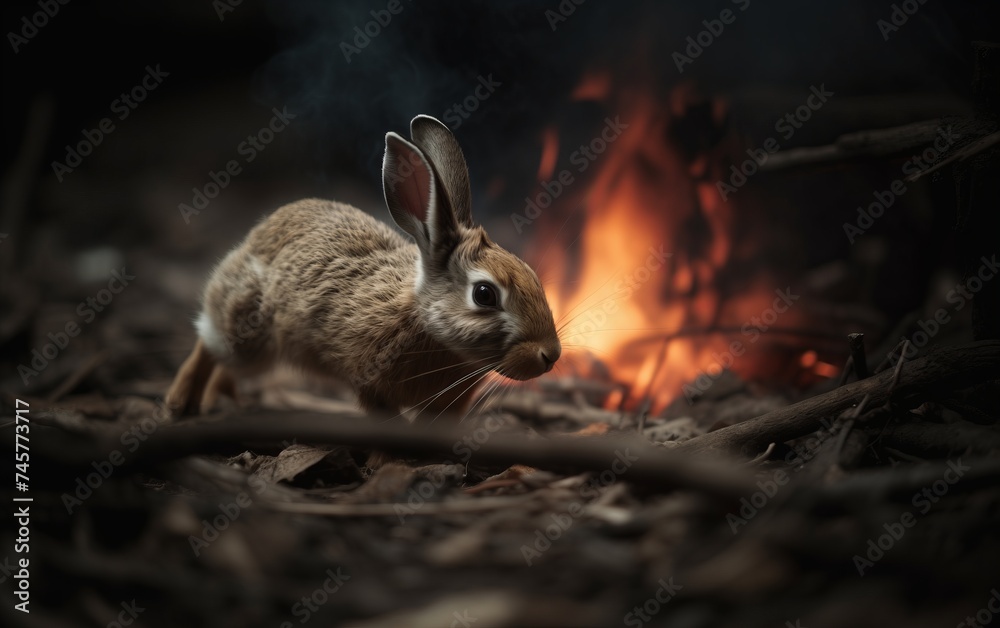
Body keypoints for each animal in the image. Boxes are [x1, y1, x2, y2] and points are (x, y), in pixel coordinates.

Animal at [166, 114, 561, 424]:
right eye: (484, 294)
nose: (550, 356)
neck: (427, 324)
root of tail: (256, 236)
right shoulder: (367, 378)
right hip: (249, 331)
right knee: (211, 342)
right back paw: (180, 403)